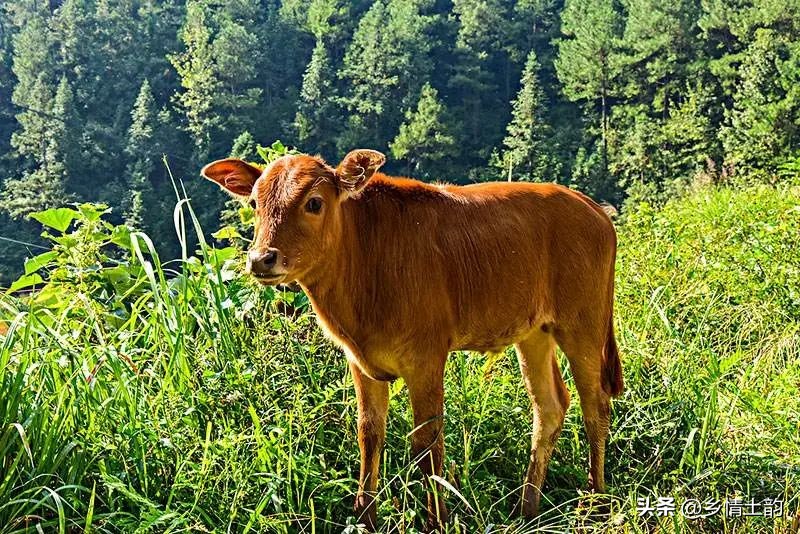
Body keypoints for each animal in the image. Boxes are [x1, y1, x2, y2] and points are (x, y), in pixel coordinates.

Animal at [202, 149, 623, 530]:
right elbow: (369, 434)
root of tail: (593, 207)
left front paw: (437, 521)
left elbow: (426, 442)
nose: (261, 259)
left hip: (584, 322)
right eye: (255, 203)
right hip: (534, 332)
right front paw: (366, 519)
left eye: (314, 203)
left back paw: (595, 503)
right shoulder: (361, 363)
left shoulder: (426, 357)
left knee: (595, 405)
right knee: (550, 406)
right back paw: (528, 510)